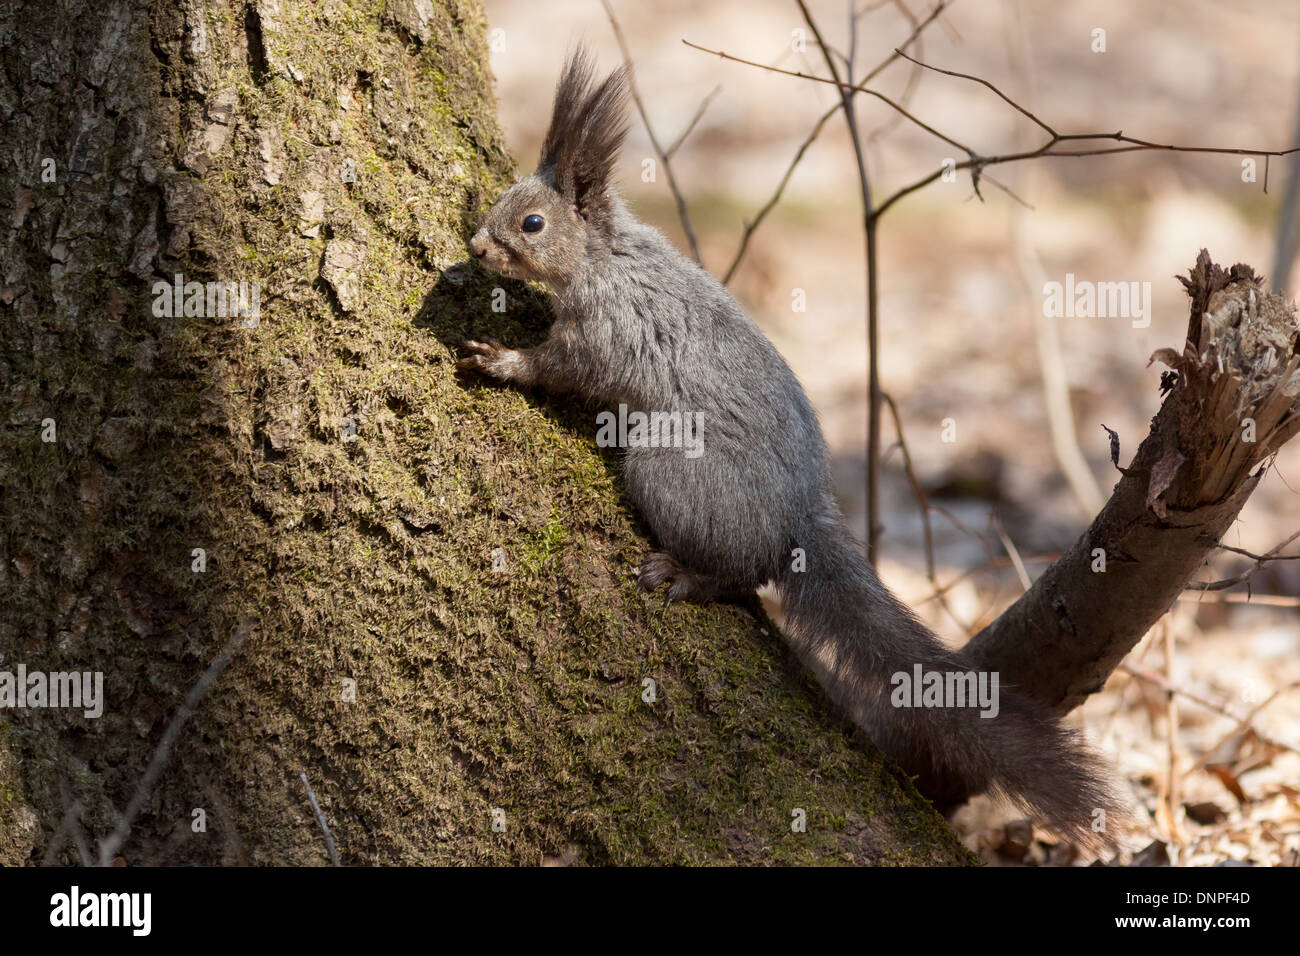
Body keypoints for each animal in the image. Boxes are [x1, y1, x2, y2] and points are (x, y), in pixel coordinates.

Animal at [459, 47, 1124, 852]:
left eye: (531, 223)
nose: (476, 245)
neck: (607, 260)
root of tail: (800, 518)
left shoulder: (608, 332)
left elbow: (563, 368)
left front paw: (501, 361)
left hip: (673, 471)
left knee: (741, 571)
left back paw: (686, 575)